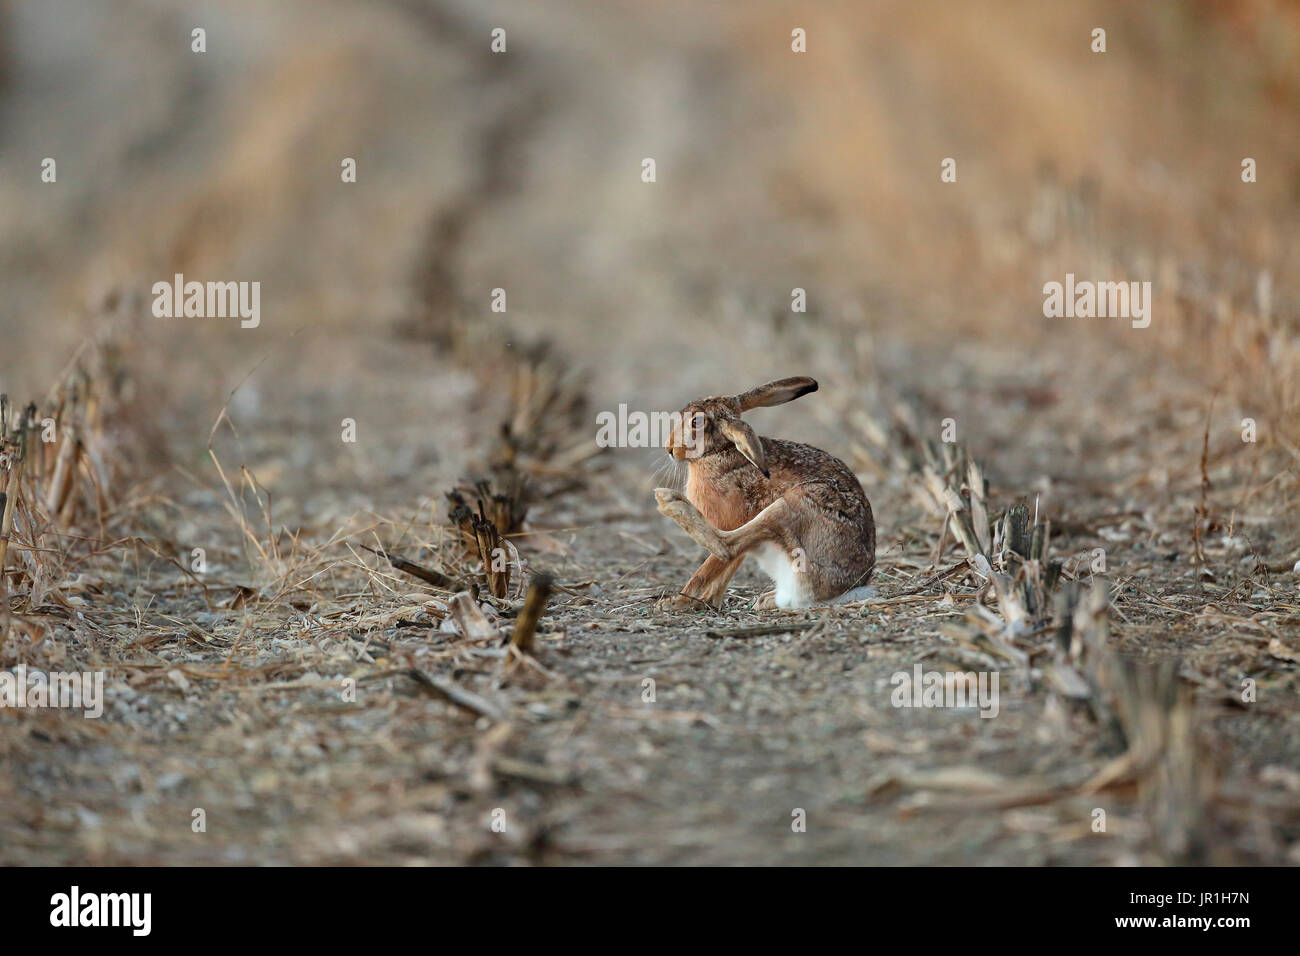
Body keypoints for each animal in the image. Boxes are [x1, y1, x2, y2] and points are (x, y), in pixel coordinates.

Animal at [655, 376, 875, 610]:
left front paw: (679, 602)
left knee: (727, 546)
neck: (718, 452)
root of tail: (845, 587)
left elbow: (715, 562)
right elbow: (725, 569)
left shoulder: (732, 520)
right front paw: (707, 602)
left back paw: (669, 501)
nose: (669, 449)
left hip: (794, 504)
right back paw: (765, 600)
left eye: (696, 422)